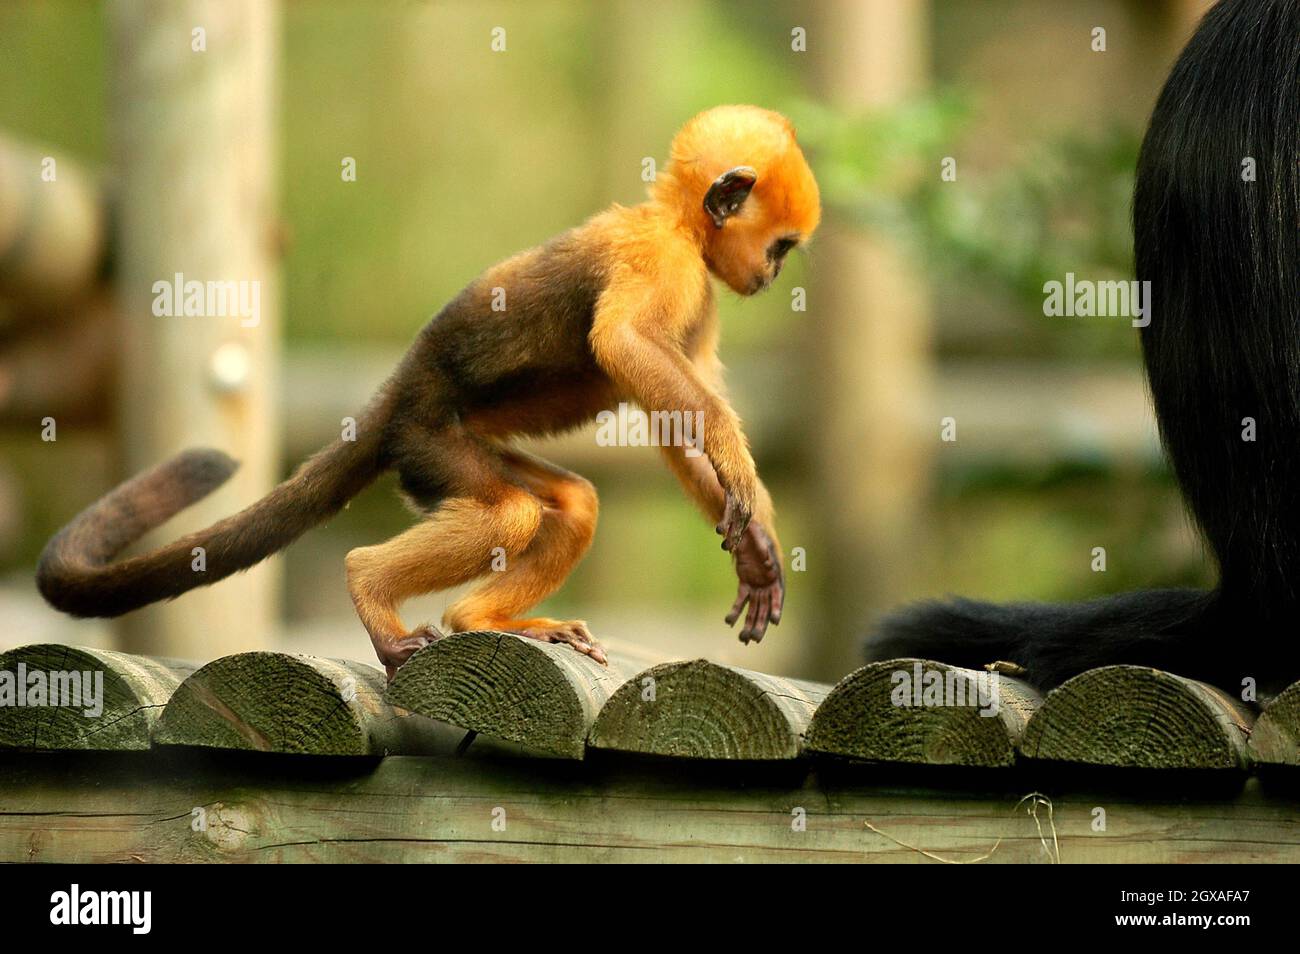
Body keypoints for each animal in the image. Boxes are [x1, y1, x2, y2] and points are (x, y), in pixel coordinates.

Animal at [36, 105, 822, 679]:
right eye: (781, 247)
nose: (774, 275)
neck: (681, 227)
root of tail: (400, 389)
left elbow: (667, 420)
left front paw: (754, 544)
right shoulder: (661, 260)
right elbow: (624, 344)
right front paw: (738, 473)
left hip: (455, 446)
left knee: (568, 502)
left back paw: (481, 620)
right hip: (428, 439)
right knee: (508, 513)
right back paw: (373, 589)